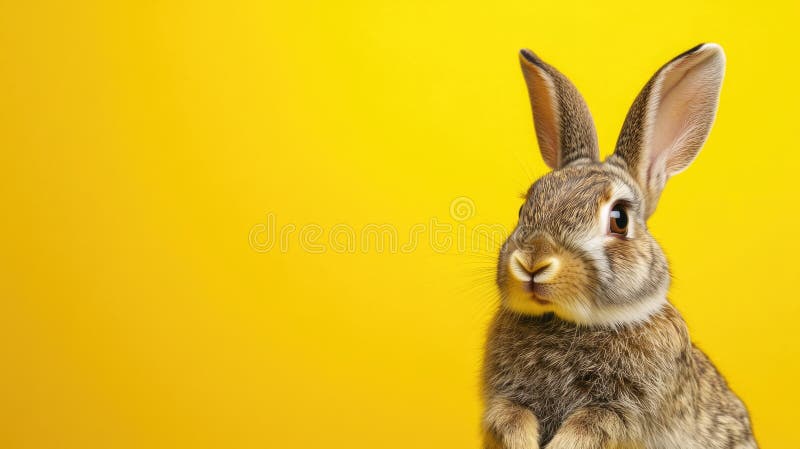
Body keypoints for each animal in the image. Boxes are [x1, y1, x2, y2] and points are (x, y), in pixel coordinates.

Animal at [482, 43, 757, 449]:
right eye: (524, 207)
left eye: (620, 219)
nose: (533, 262)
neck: (568, 323)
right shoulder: (504, 400)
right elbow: (510, 417)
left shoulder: (626, 413)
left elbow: (593, 425)